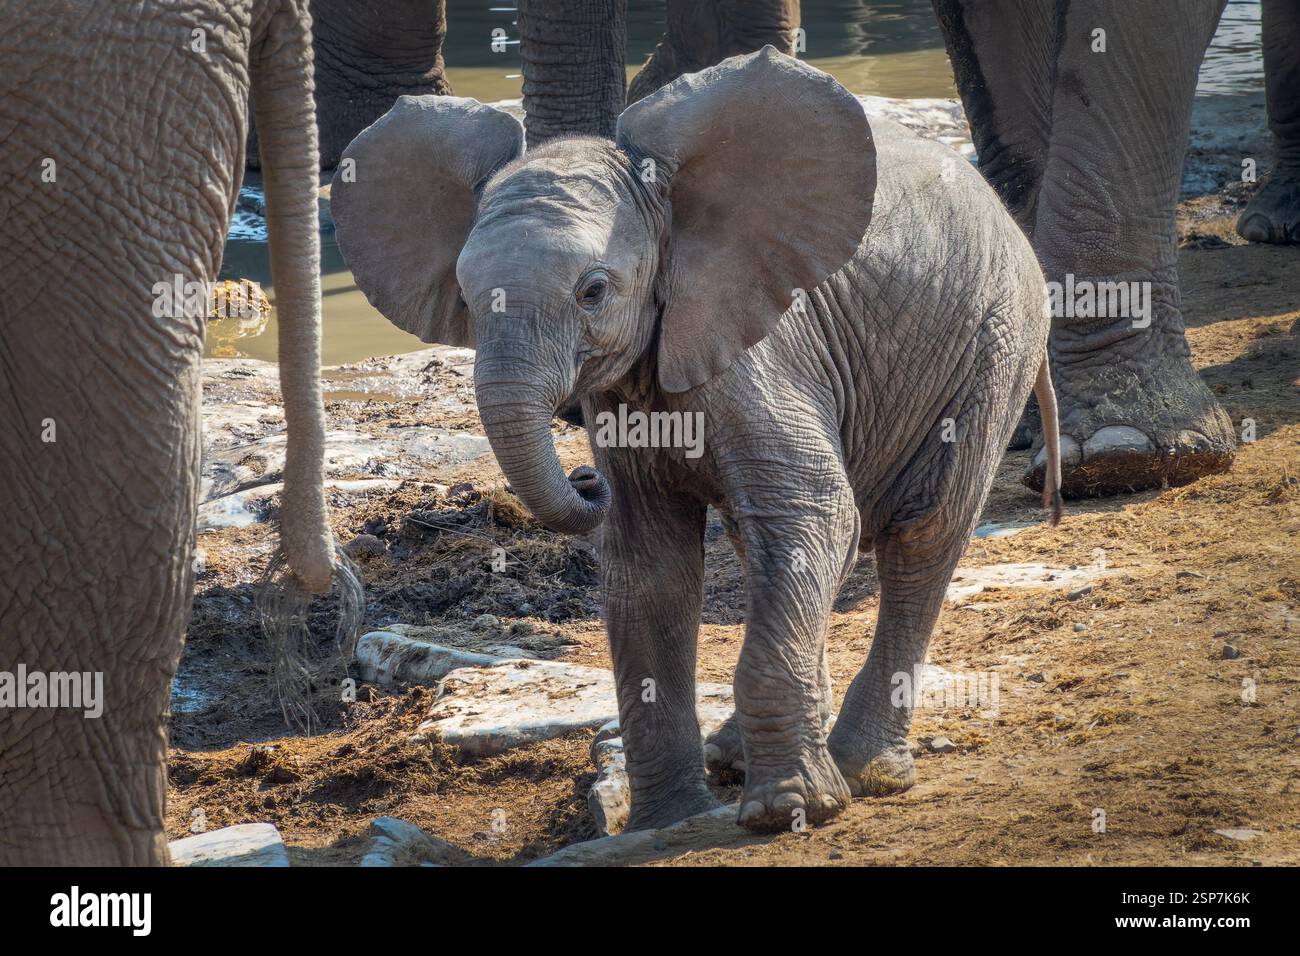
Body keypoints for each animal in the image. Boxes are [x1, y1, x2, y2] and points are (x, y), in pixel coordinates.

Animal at [331, 48, 1063, 831]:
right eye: (466, 300)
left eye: (593, 292)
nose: (586, 479)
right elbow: (650, 561)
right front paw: (667, 820)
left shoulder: (762, 344)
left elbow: (812, 509)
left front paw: (785, 811)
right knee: (781, 544)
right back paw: (743, 757)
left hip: (994, 340)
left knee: (923, 533)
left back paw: (864, 772)